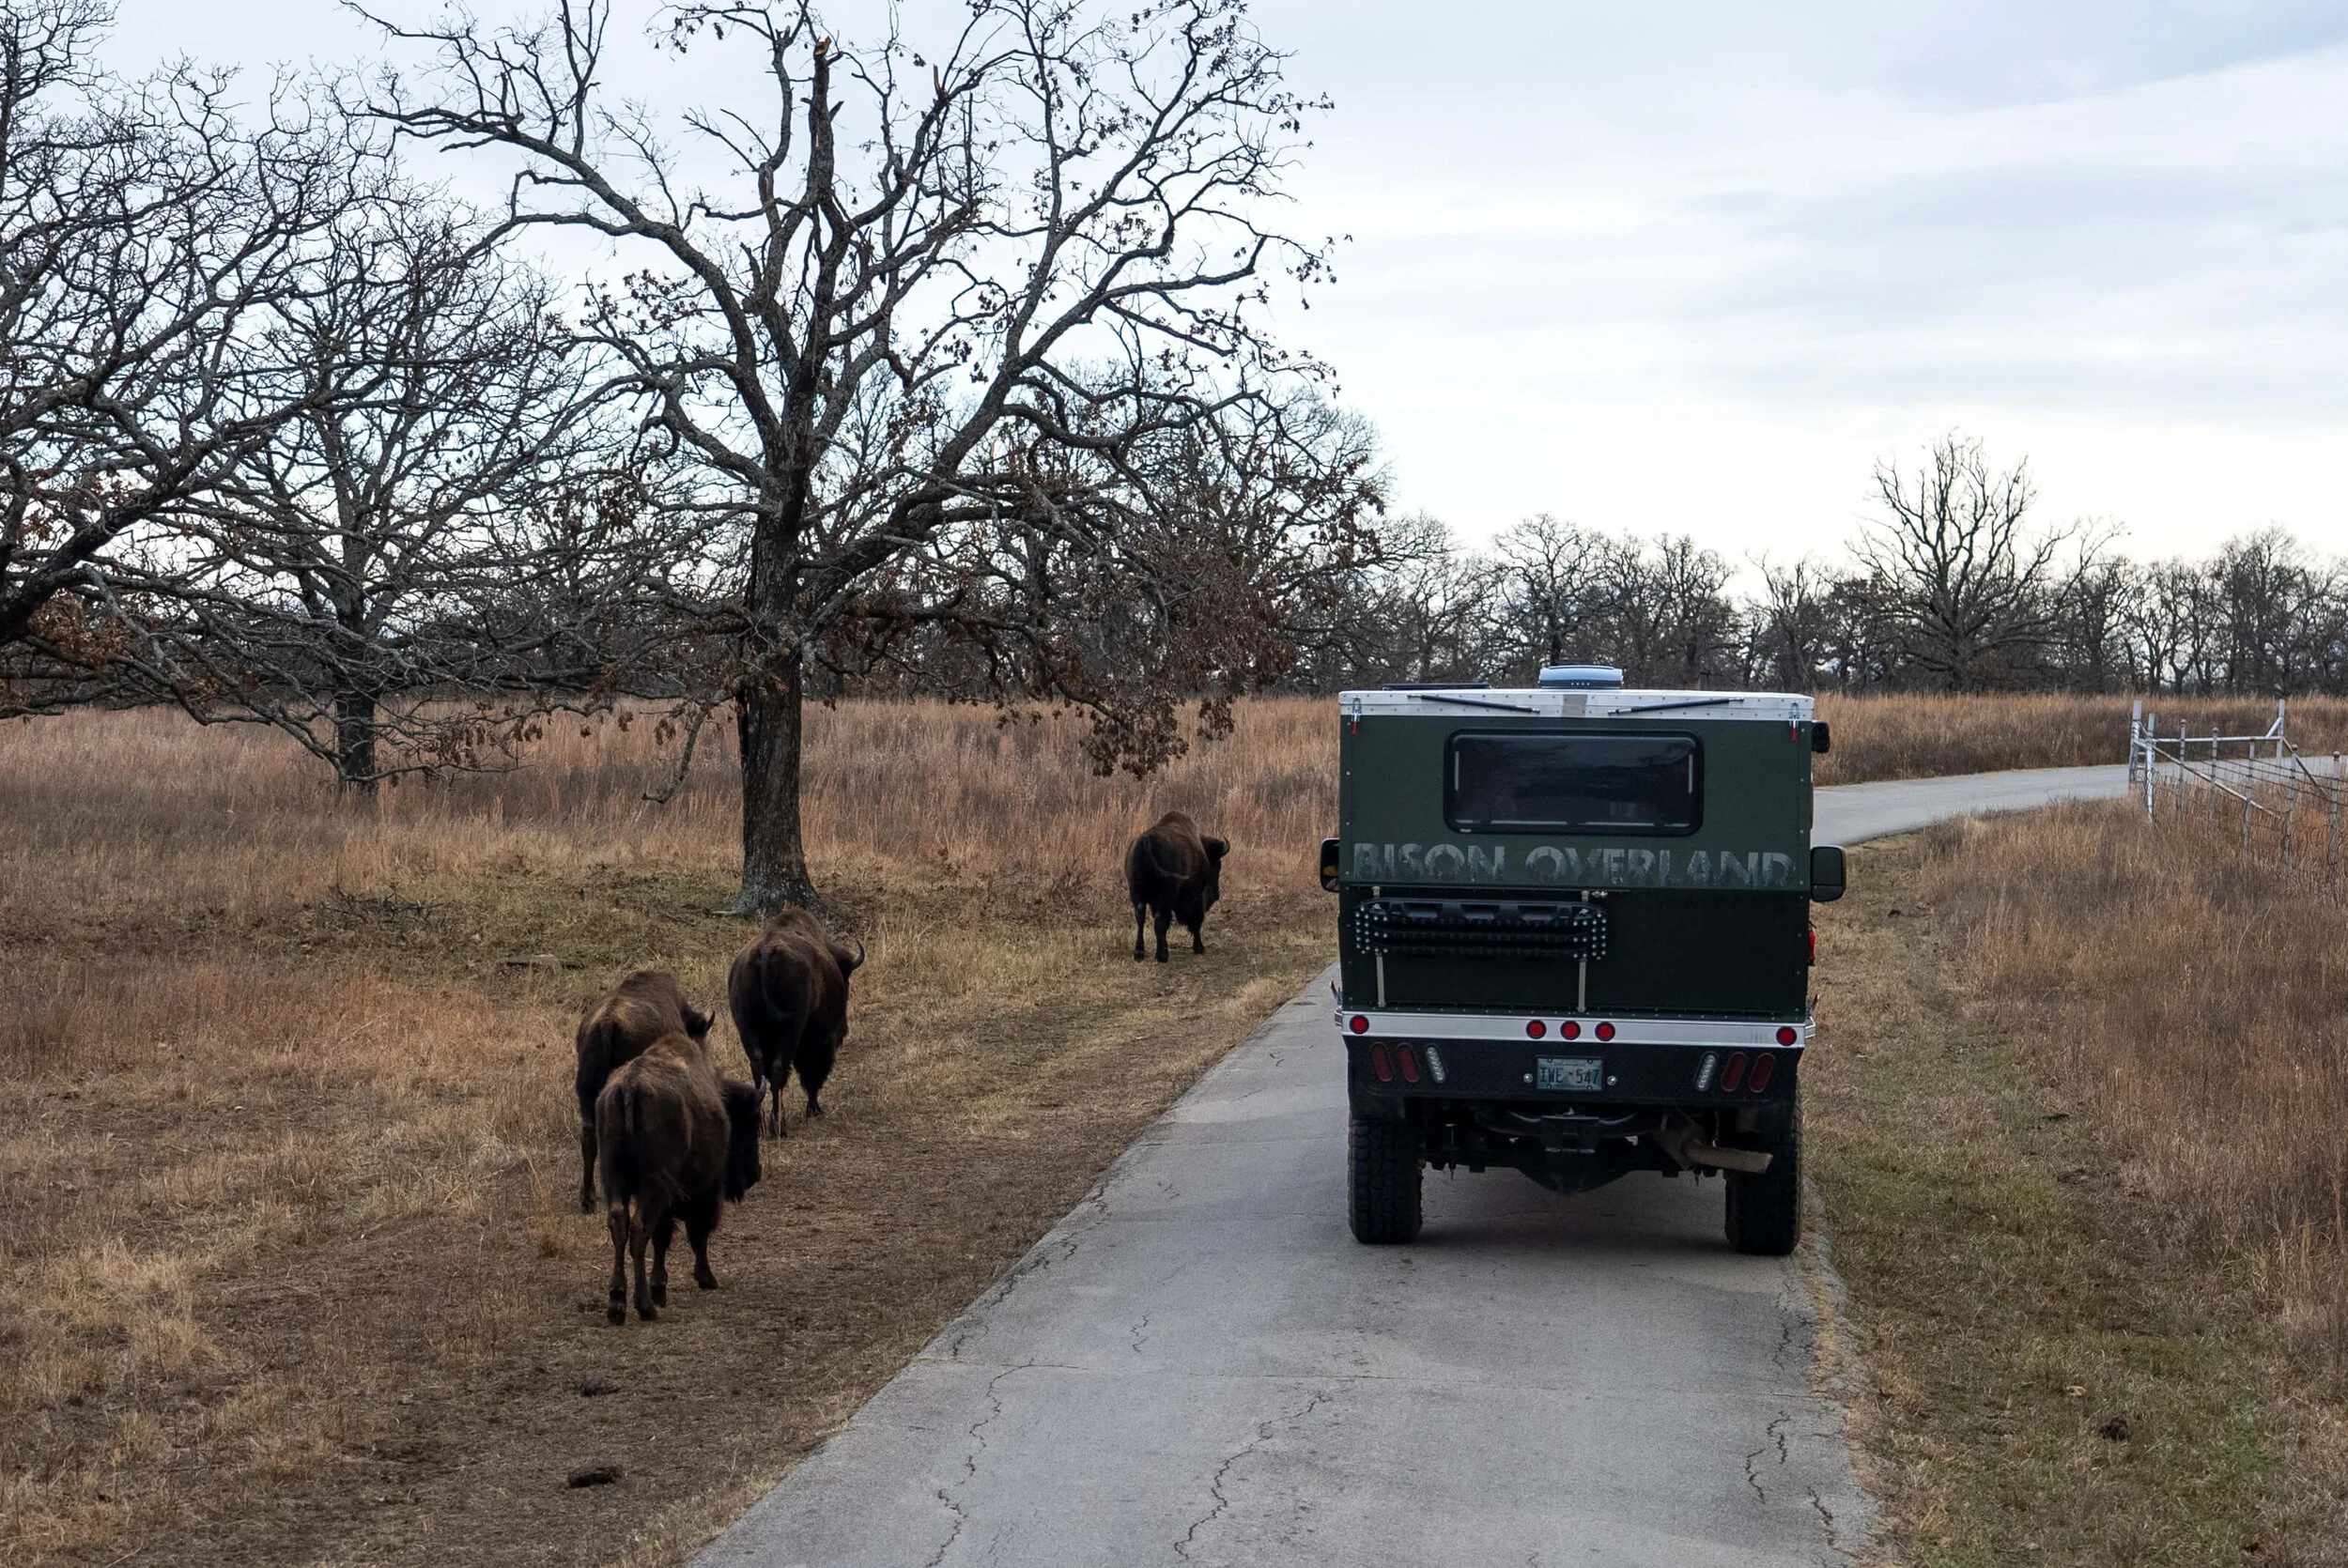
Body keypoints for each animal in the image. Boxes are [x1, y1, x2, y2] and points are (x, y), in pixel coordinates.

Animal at [595, 1030, 762, 1325]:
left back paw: (617, 1304)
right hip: (656, 1185)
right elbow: (697, 1233)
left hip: (613, 1178)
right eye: (751, 1123)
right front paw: (705, 1278)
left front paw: (660, 1289)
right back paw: (645, 1306)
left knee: (620, 1224)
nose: (755, 1173)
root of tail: (629, 1086)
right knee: (640, 1229)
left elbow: (663, 1238)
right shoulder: (706, 1189)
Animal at [728, 907, 863, 1139]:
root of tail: (766, 953)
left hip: (747, 1029)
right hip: (791, 1030)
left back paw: (762, 1126)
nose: (843, 1030)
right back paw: (778, 1126)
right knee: (780, 1070)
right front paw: (814, 1109)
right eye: (846, 982)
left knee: (759, 1071)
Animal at [1127, 811, 1228, 963]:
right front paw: (1199, 948)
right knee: (1160, 919)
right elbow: (1196, 920)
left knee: (1141, 916)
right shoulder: (1196, 896)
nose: (1216, 895)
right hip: (1166, 894)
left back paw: (1139, 953)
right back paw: (1162, 956)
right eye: (1217, 866)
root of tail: (1146, 841)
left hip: (1137, 893)